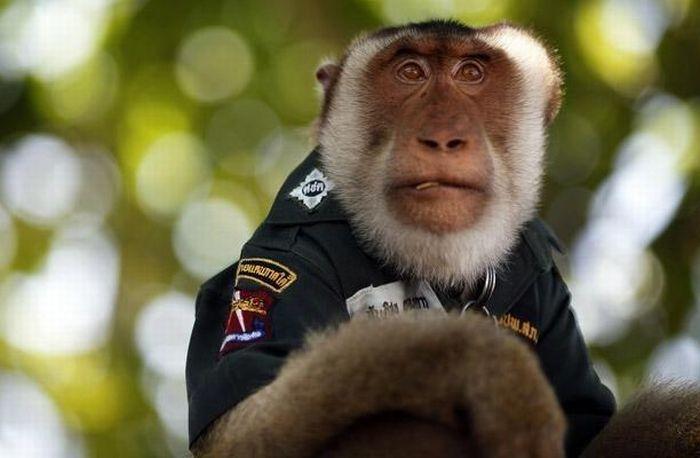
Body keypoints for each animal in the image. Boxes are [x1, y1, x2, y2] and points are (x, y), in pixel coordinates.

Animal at [185, 19, 616, 457]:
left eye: (471, 72)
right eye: (410, 72)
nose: (442, 136)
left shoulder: (547, 283)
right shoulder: (288, 256)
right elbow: (241, 433)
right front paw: (497, 373)